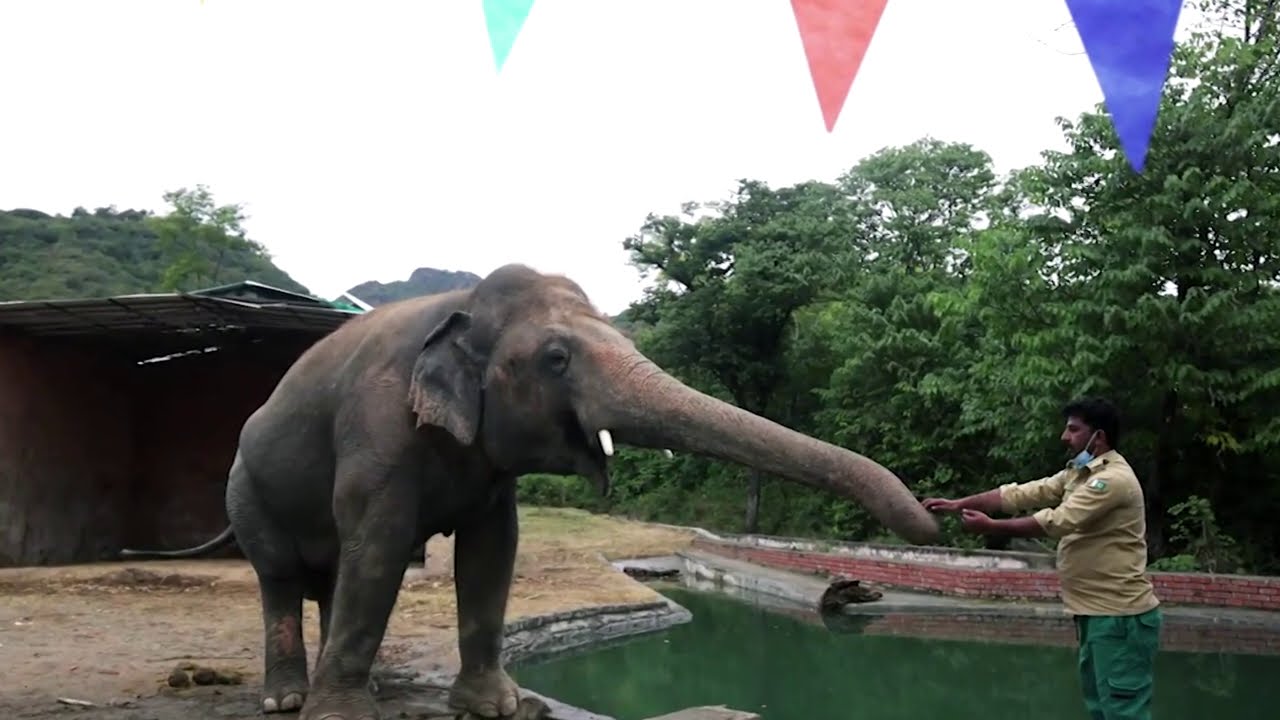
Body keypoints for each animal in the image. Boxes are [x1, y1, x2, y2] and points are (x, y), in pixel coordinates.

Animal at [118, 263, 940, 720]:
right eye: (556, 359)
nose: (934, 522)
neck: (461, 304)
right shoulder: (376, 429)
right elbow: (380, 545)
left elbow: (494, 550)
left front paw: (499, 709)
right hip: (246, 491)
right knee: (285, 579)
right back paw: (291, 701)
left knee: (326, 581)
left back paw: (363, 687)